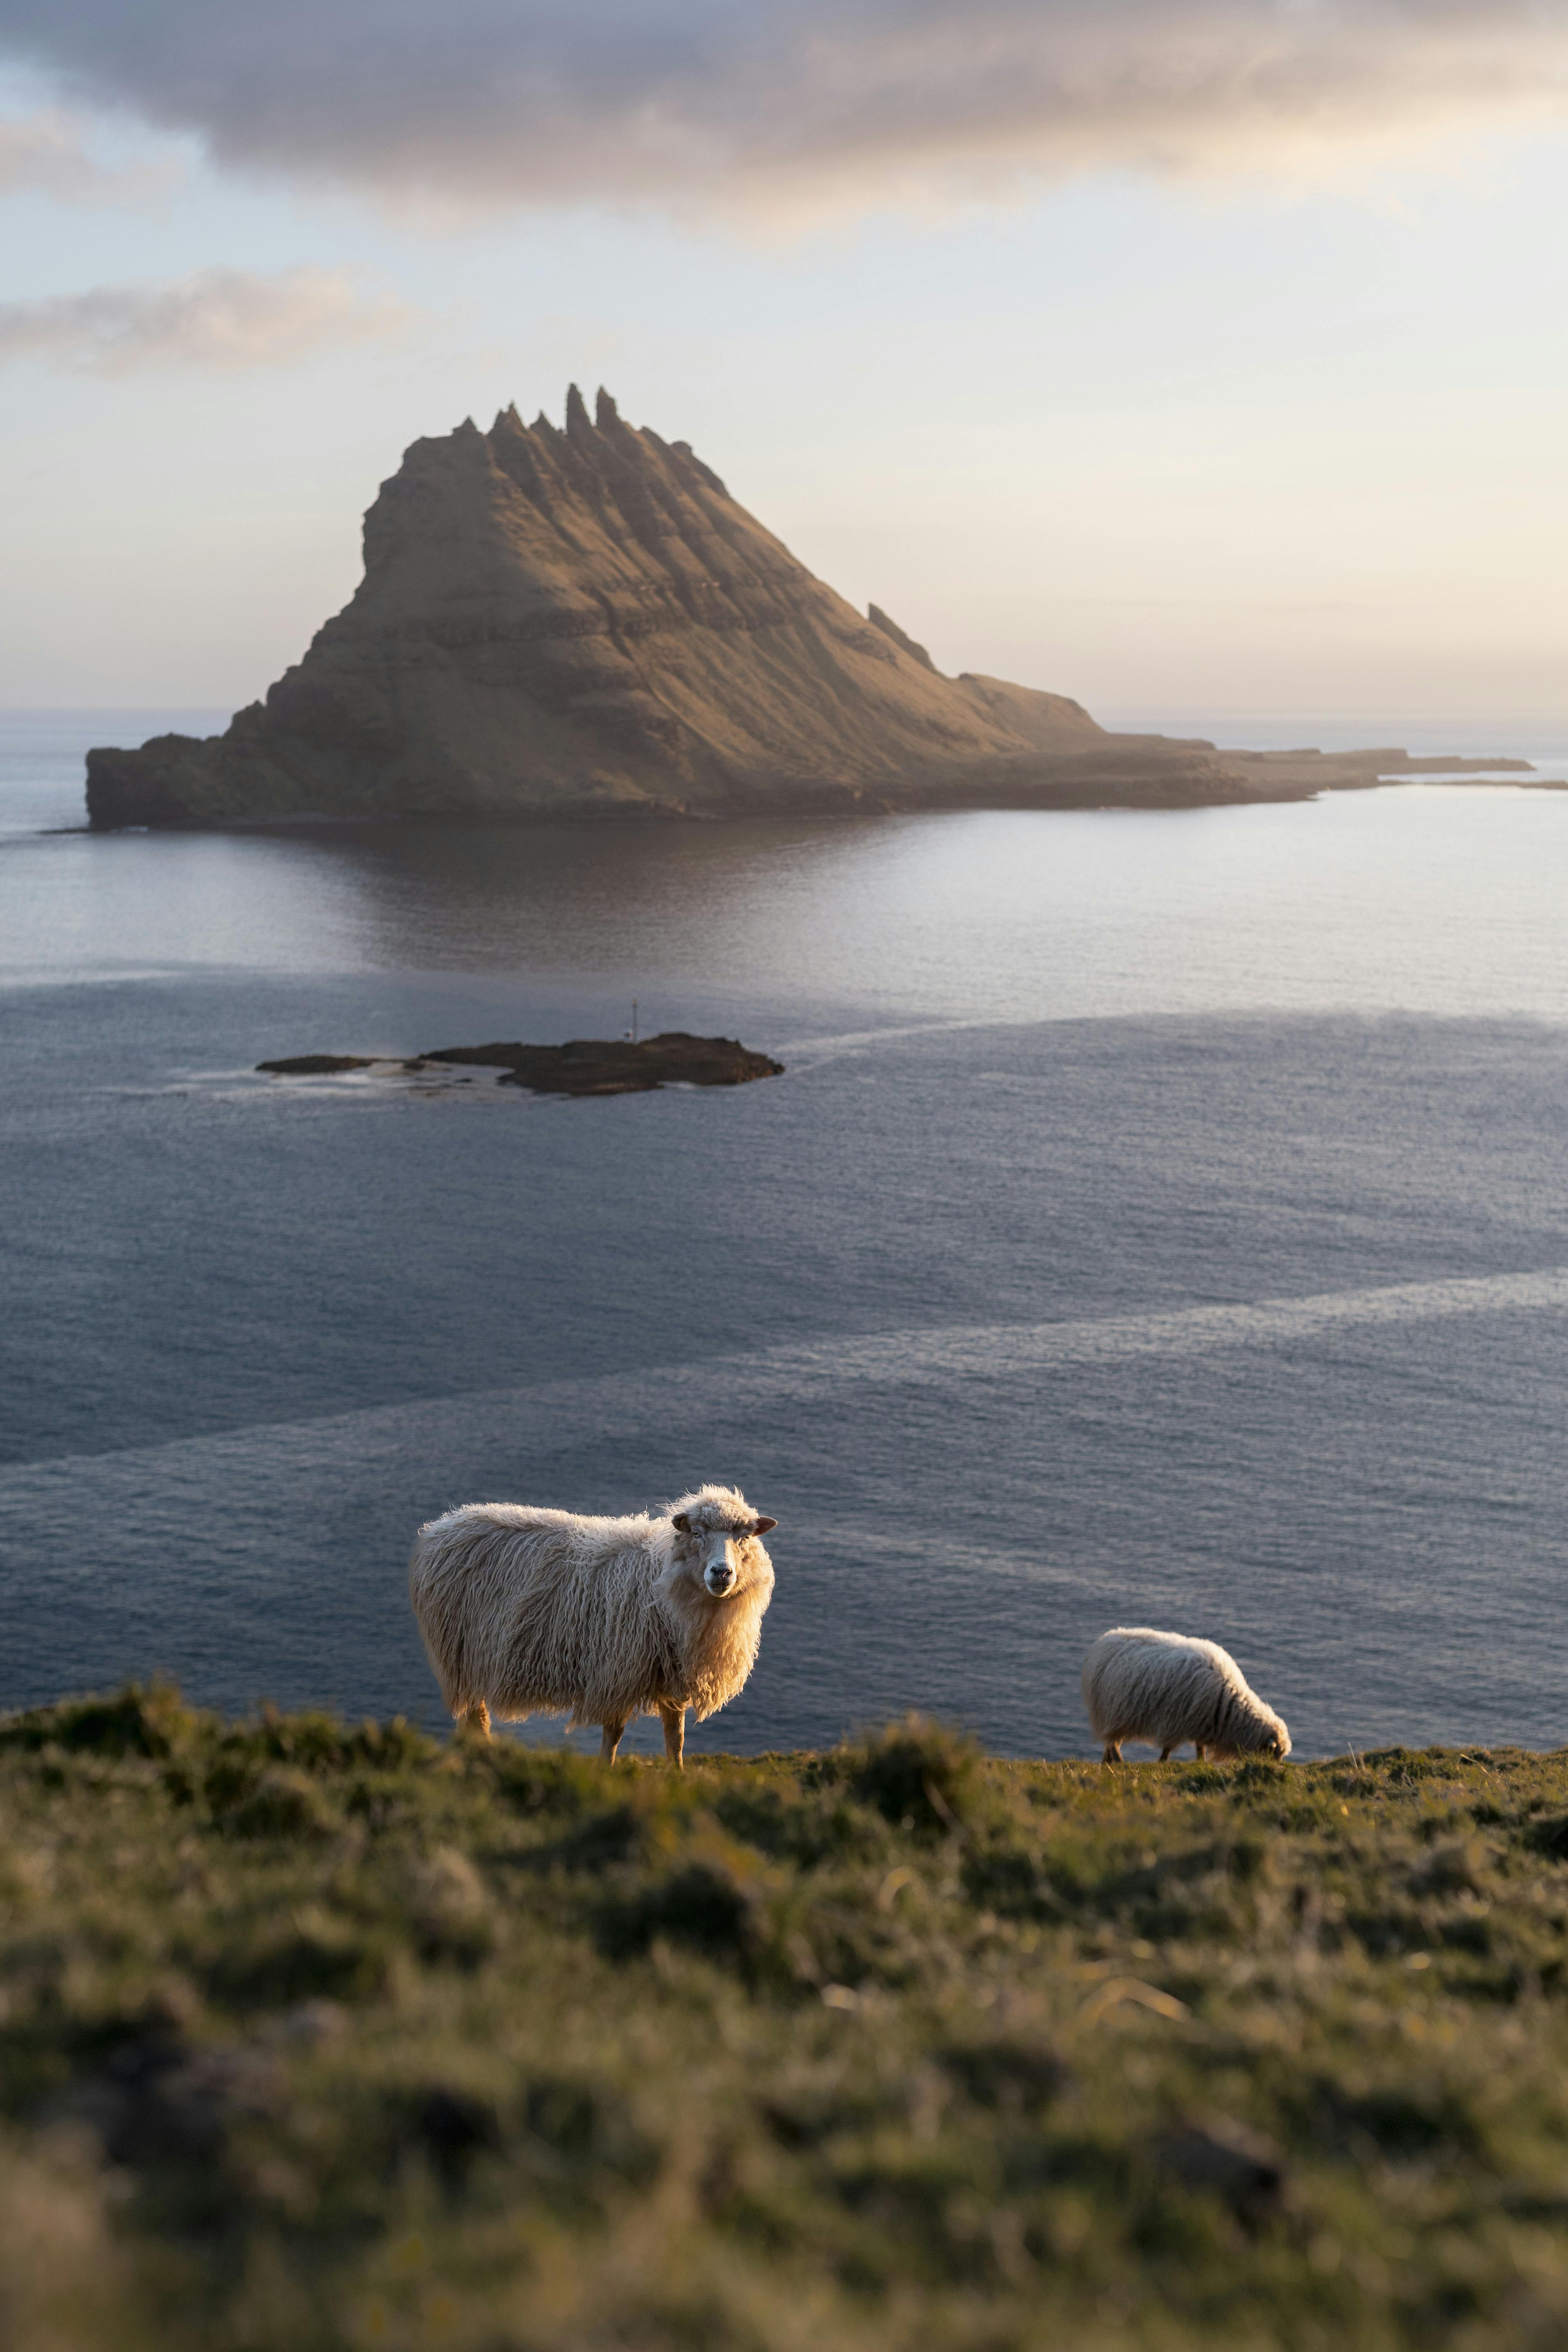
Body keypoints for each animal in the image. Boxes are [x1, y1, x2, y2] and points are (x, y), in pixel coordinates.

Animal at [408, 1483, 777, 1766]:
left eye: (744, 1538)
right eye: (698, 1534)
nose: (721, 1573)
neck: (661, 1578)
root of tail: (442, 1527)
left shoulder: (672, 1676)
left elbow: (676, 1736)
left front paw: (678, 1776)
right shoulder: (616, 1669)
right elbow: (613, 1734)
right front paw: (605, 1770)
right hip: (460, 1656)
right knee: (474, 1716)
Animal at [1082, 1627, 1291, 1765]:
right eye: (1274, 1754)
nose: (1274, 1769)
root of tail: (1102, 1643)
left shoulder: (1202, 1723)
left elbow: (1200, 1749)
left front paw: (1200, 1763)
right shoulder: (1175, 1723)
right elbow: (1168, 1749)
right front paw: (1163, 1763)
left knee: (1110, 1743)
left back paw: (1108, 1763)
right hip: (1112, 1712)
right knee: (1113, 1743)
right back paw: (1119, 1762)